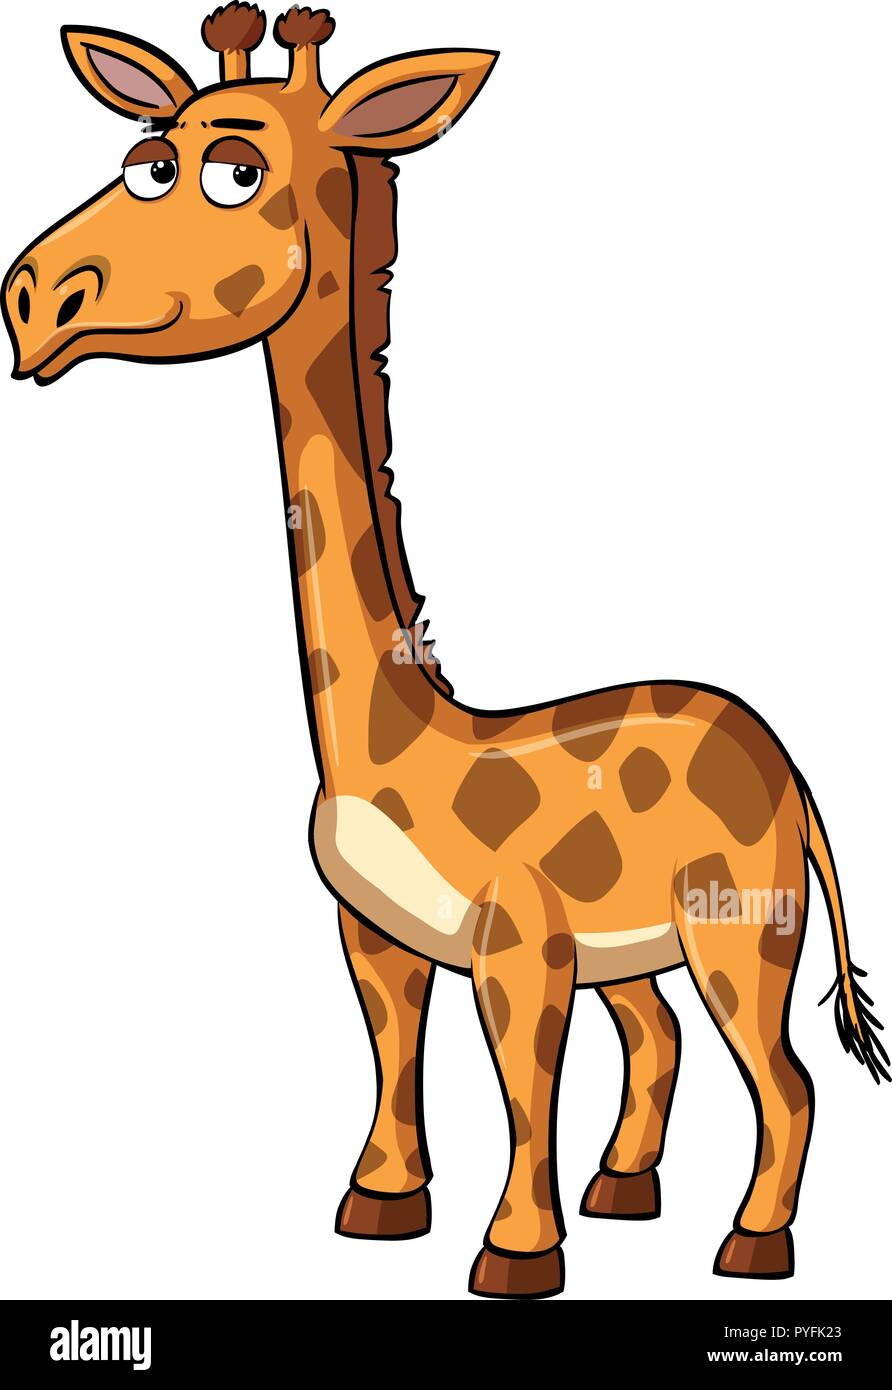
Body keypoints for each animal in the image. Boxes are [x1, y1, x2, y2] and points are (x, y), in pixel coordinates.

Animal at [3, 5, 888, 1301]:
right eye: (144, 156)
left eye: (230, 169)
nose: (33, 303)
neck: (396, 743)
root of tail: (787, 762)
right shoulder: (373, 931)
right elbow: (393, 1050)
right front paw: (380, 1205)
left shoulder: (521, 946)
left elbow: (522, 1084)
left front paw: (514, 1256)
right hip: (640, 949)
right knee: (661, 1037)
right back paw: (625, 1193)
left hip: (740, 922)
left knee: (785, 1077)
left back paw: (752, 1244)